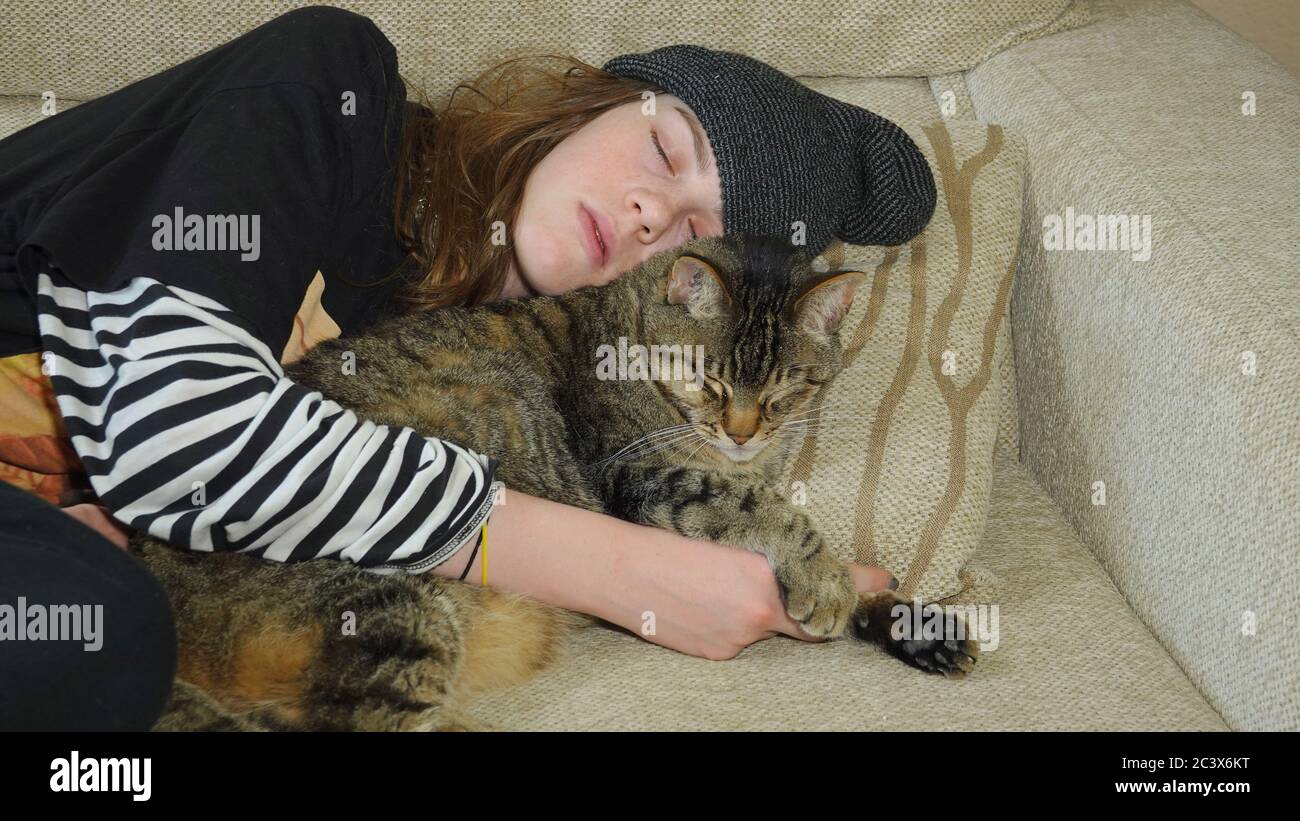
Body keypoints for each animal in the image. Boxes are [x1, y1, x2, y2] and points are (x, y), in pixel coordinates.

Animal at [137, 232, 977, 732]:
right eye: (708, 379)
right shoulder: (637, 475)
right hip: (393, 606)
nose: (742, 432)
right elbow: (754, 503)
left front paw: (910, 618)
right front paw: (826, 576)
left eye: (784, 389)